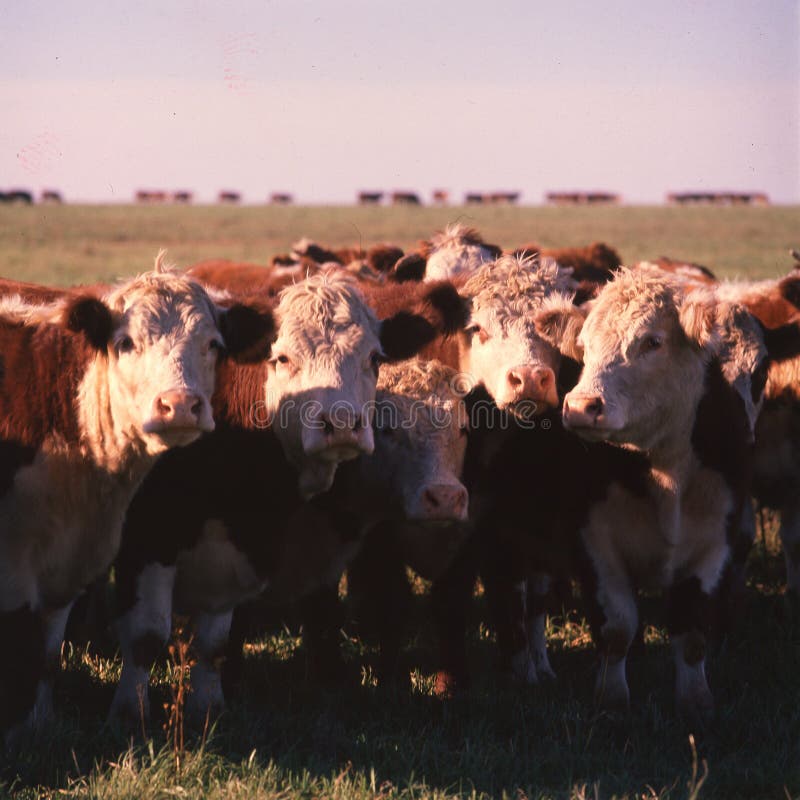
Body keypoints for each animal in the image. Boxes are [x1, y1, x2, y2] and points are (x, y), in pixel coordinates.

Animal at [0, 256, 274, 740]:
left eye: (213, 344)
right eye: (126, 342)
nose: (180, 405)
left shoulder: (64, 562)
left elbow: (46, 654)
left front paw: (40, 721)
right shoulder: (15, 565)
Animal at [107, 271, 469, 725]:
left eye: (374, 358)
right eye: (282, 358)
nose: (342, 424)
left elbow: (217, 640)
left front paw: (211, 704)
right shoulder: (149, 538)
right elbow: (146, 633)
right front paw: (131, 711)